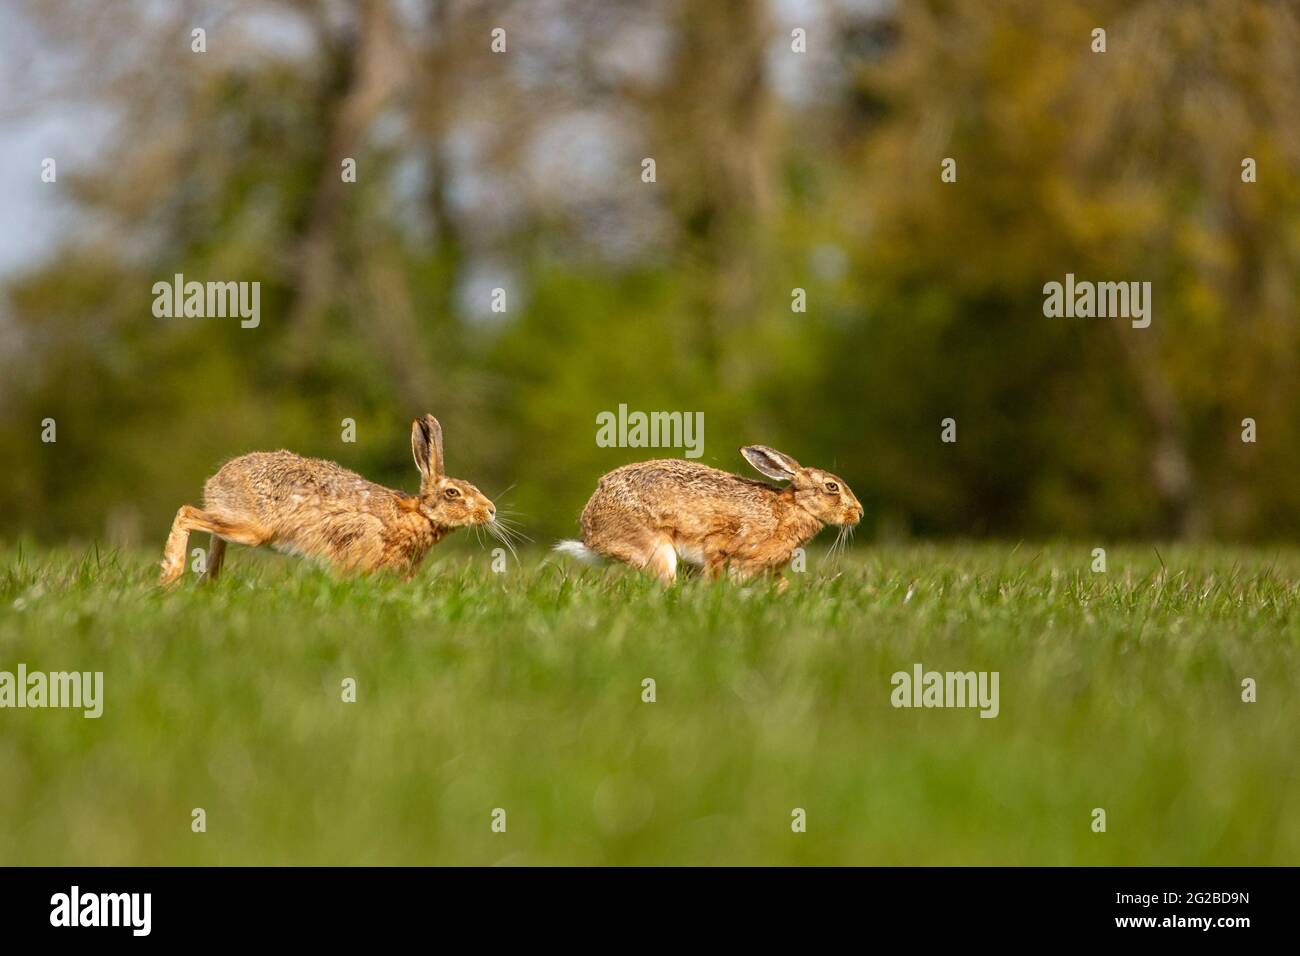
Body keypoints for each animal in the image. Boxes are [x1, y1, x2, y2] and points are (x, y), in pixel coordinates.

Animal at [159, 414, 500, 585]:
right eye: (453, 492)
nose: (491, 511)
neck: (417, 514)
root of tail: (216, 479)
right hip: (254, 529)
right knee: (186, 513)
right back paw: (169, 578)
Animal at [555, 445, 863, 586]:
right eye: (832, 487)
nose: (859, 513)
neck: (792, 509)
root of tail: (591, 533)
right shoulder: (722, 547)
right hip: (656, 548)